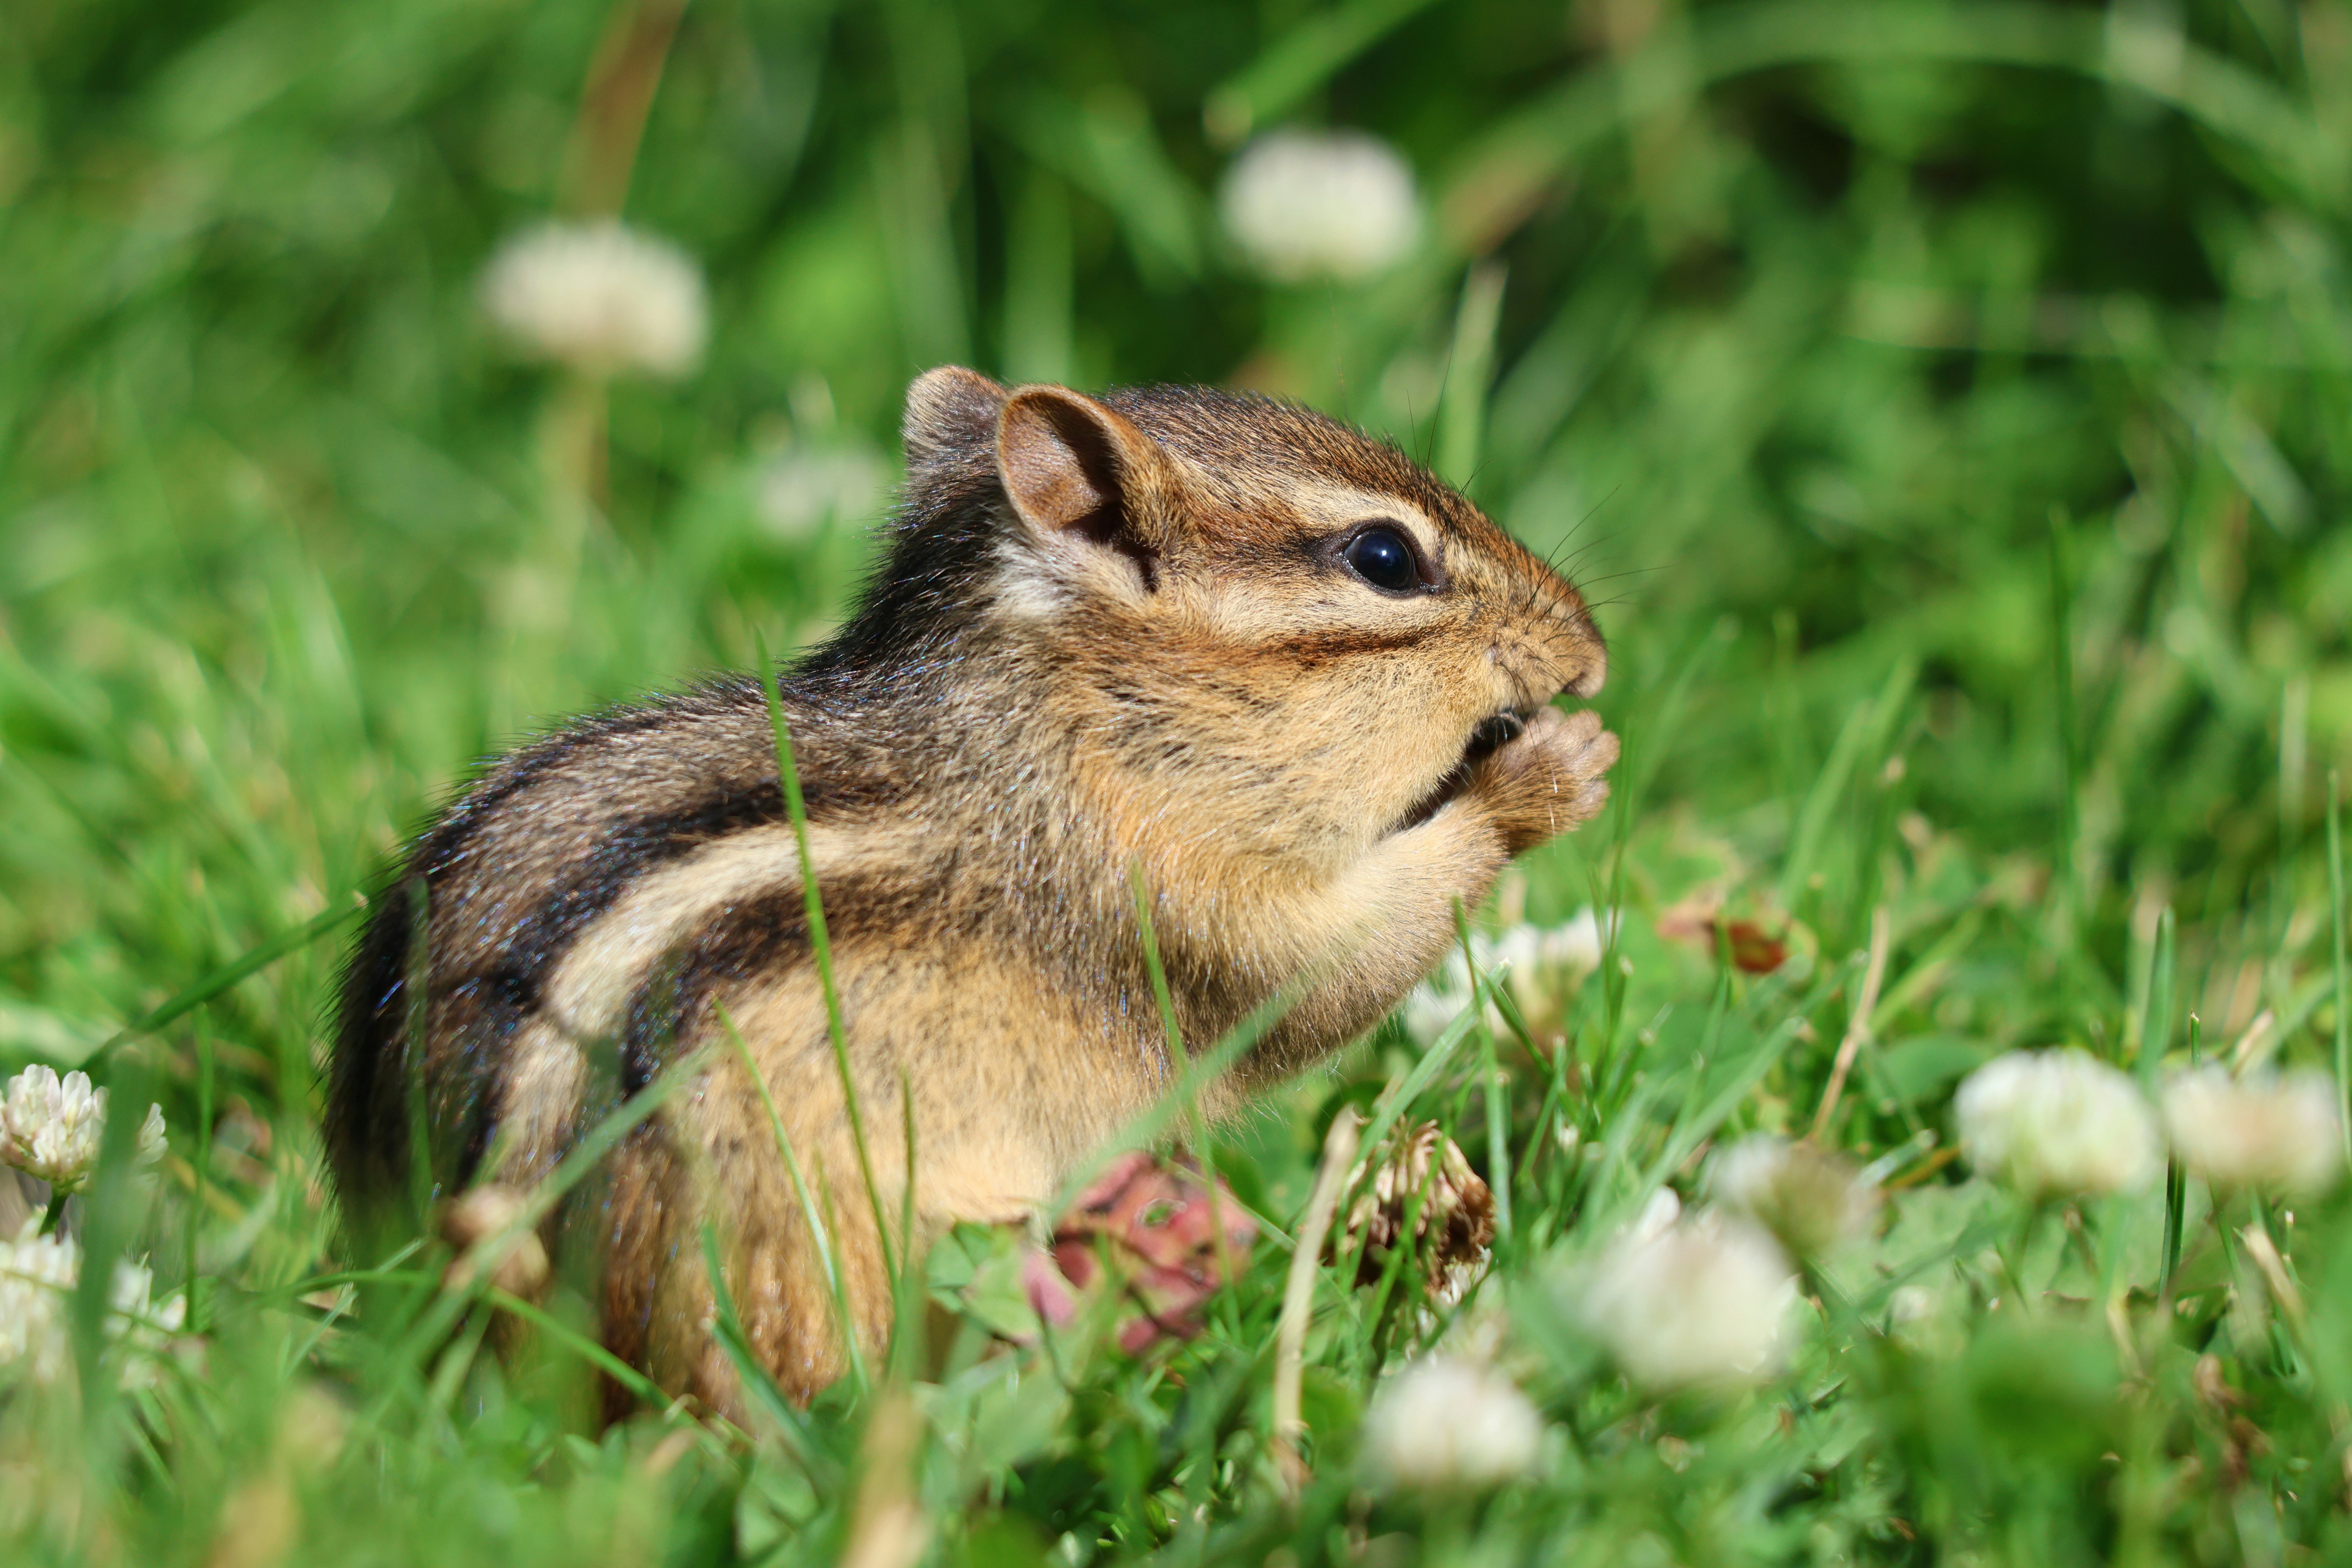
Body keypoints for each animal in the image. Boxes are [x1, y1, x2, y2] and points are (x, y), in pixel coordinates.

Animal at [326, 367, 1618, 1414]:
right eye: (1386, 560)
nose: (1595, 653)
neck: (1067, 721)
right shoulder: (1177, 894)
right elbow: (1334, 970)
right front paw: (1549, 775)